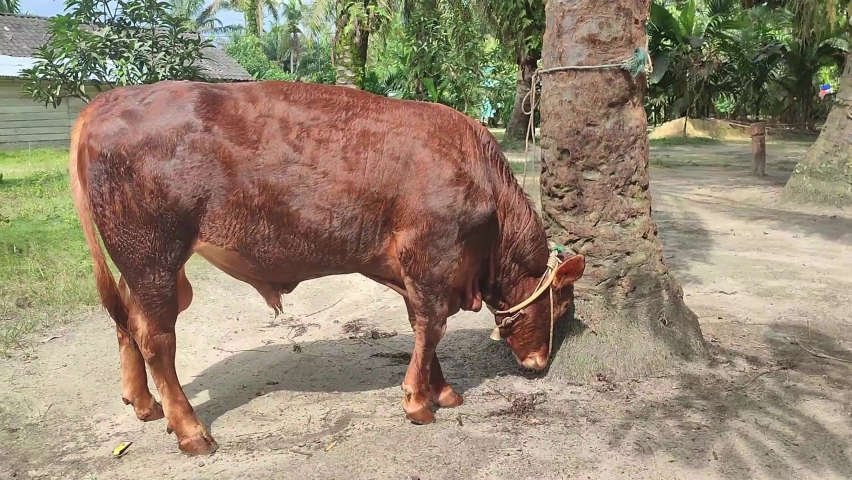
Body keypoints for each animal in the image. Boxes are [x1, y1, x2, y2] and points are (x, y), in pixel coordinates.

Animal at [69, 80, 586, 456]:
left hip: (148, 266)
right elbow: (432, 327)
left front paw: (441, 391)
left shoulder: (413, 274)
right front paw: (418, 403)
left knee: (128, 321)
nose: (539, 364)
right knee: (157, 340)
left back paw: (144, 405)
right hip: (153, 255)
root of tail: (110, 99)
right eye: (562, 307)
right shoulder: (431, 260)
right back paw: (192, 431)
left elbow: (423, 330)